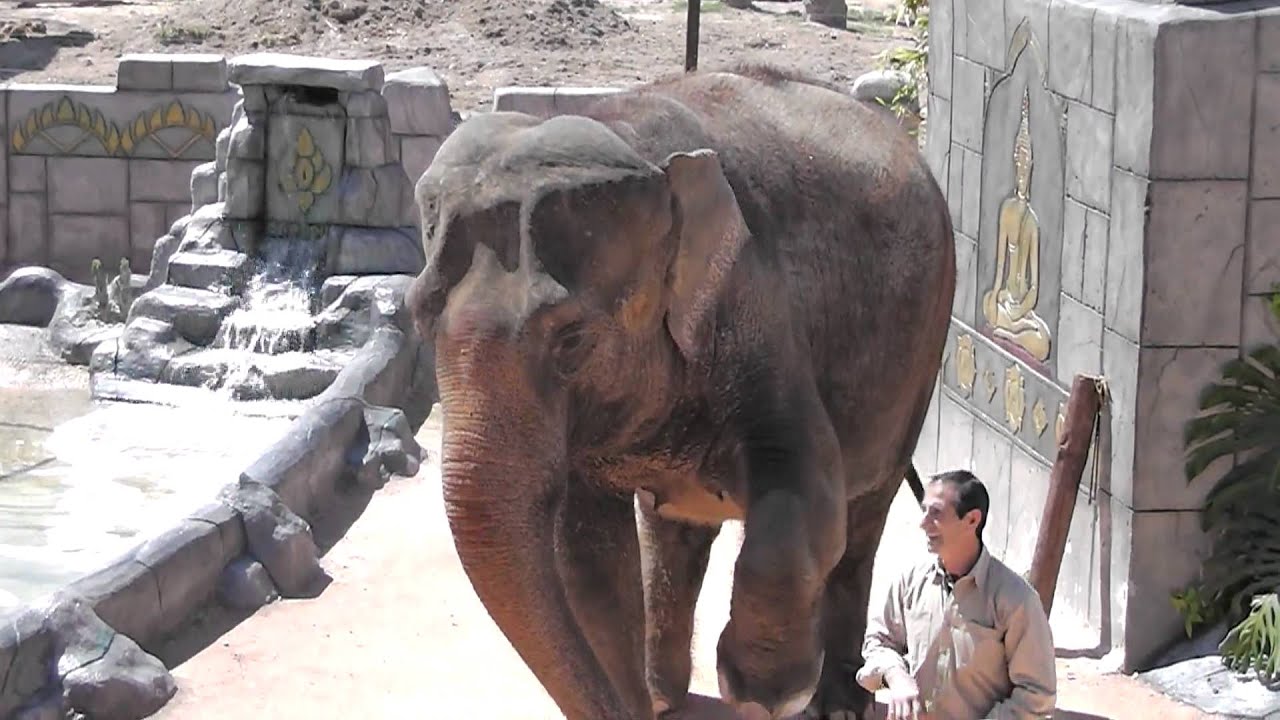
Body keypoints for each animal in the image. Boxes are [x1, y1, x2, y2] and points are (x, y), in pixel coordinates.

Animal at [405, 64, 955, 720]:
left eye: (571, 339)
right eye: (416, 316)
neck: (635, 140)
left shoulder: (757, 305)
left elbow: (807, 490)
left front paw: (764, 691)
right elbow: (588, 561)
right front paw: (640, 695)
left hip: (924, 345)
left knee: (863, 513)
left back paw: (834, 701)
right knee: (673, 530)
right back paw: (665, 692)